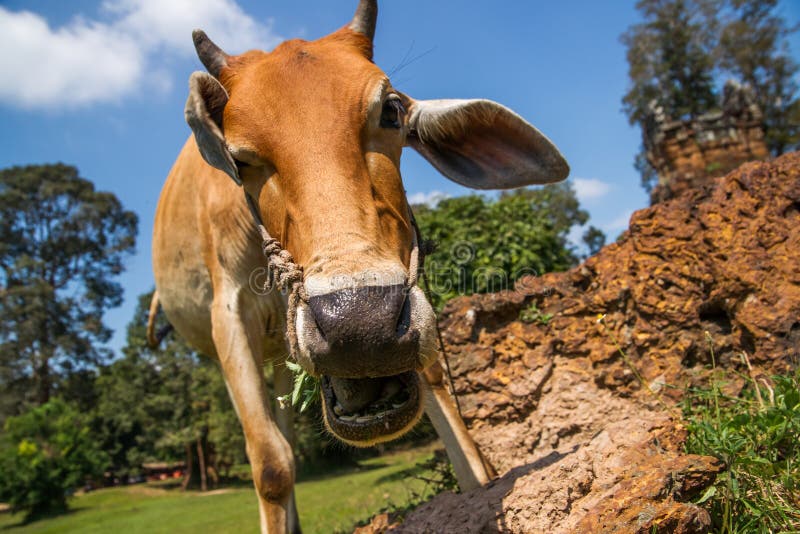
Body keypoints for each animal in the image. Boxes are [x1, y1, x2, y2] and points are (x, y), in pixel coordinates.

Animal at [151, 1, 569, 532]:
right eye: (239, 159)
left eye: (390, 110)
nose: (358, 325)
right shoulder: (228, 316)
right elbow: (270, 464)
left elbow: (442, 398)